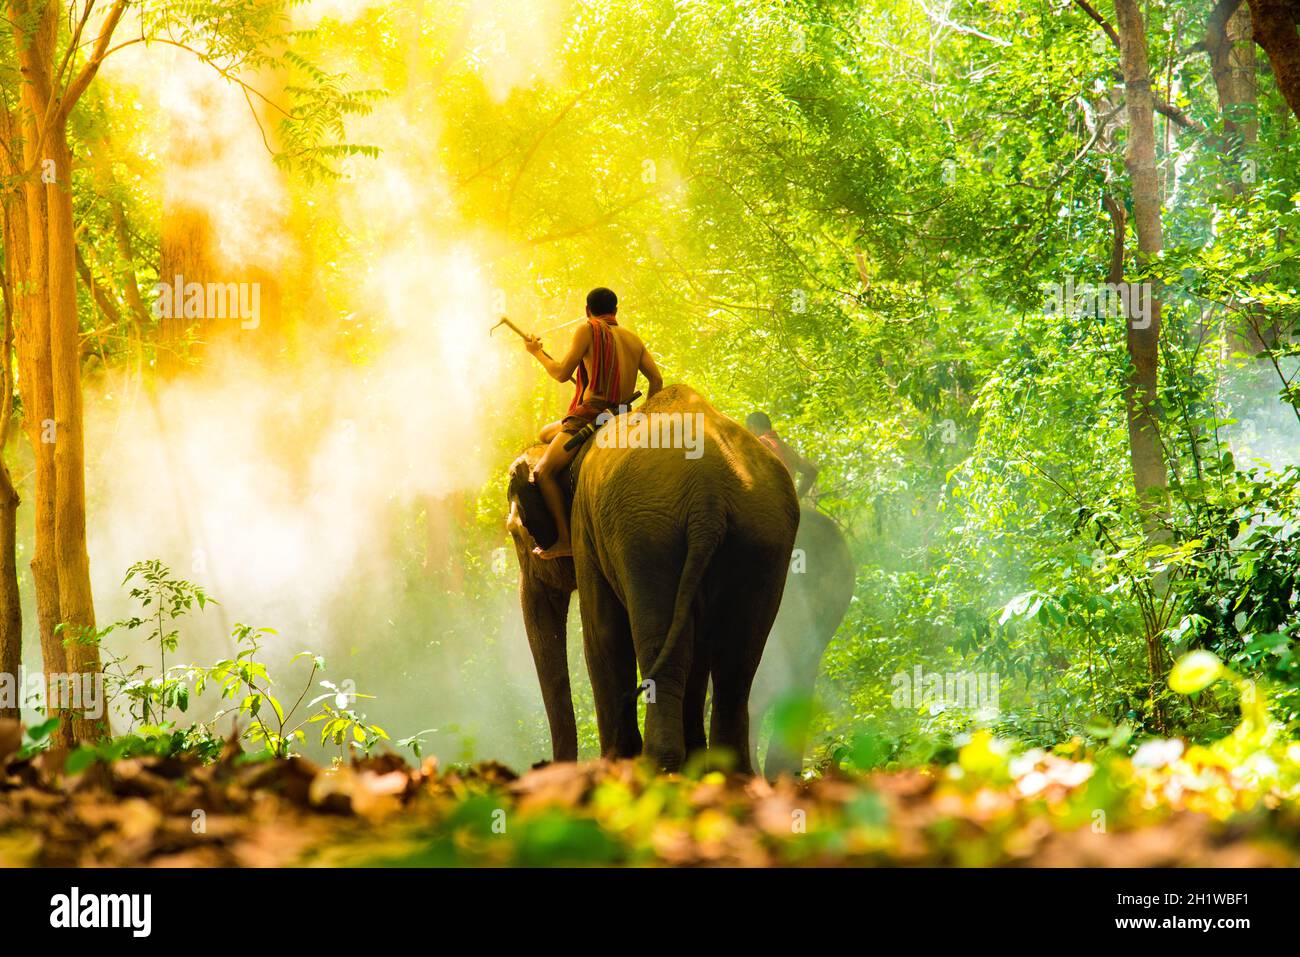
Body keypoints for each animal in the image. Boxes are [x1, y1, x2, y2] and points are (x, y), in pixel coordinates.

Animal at [506, 384, 799, 773]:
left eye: (515, 533)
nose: (541, 768)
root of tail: (708, 494)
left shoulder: (585, 529)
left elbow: (601, 632)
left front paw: (615, 763)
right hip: (763, 534)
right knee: (738, 655)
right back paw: (727, 773)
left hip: (646, 532)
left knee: (658, 638)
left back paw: (659, 764)